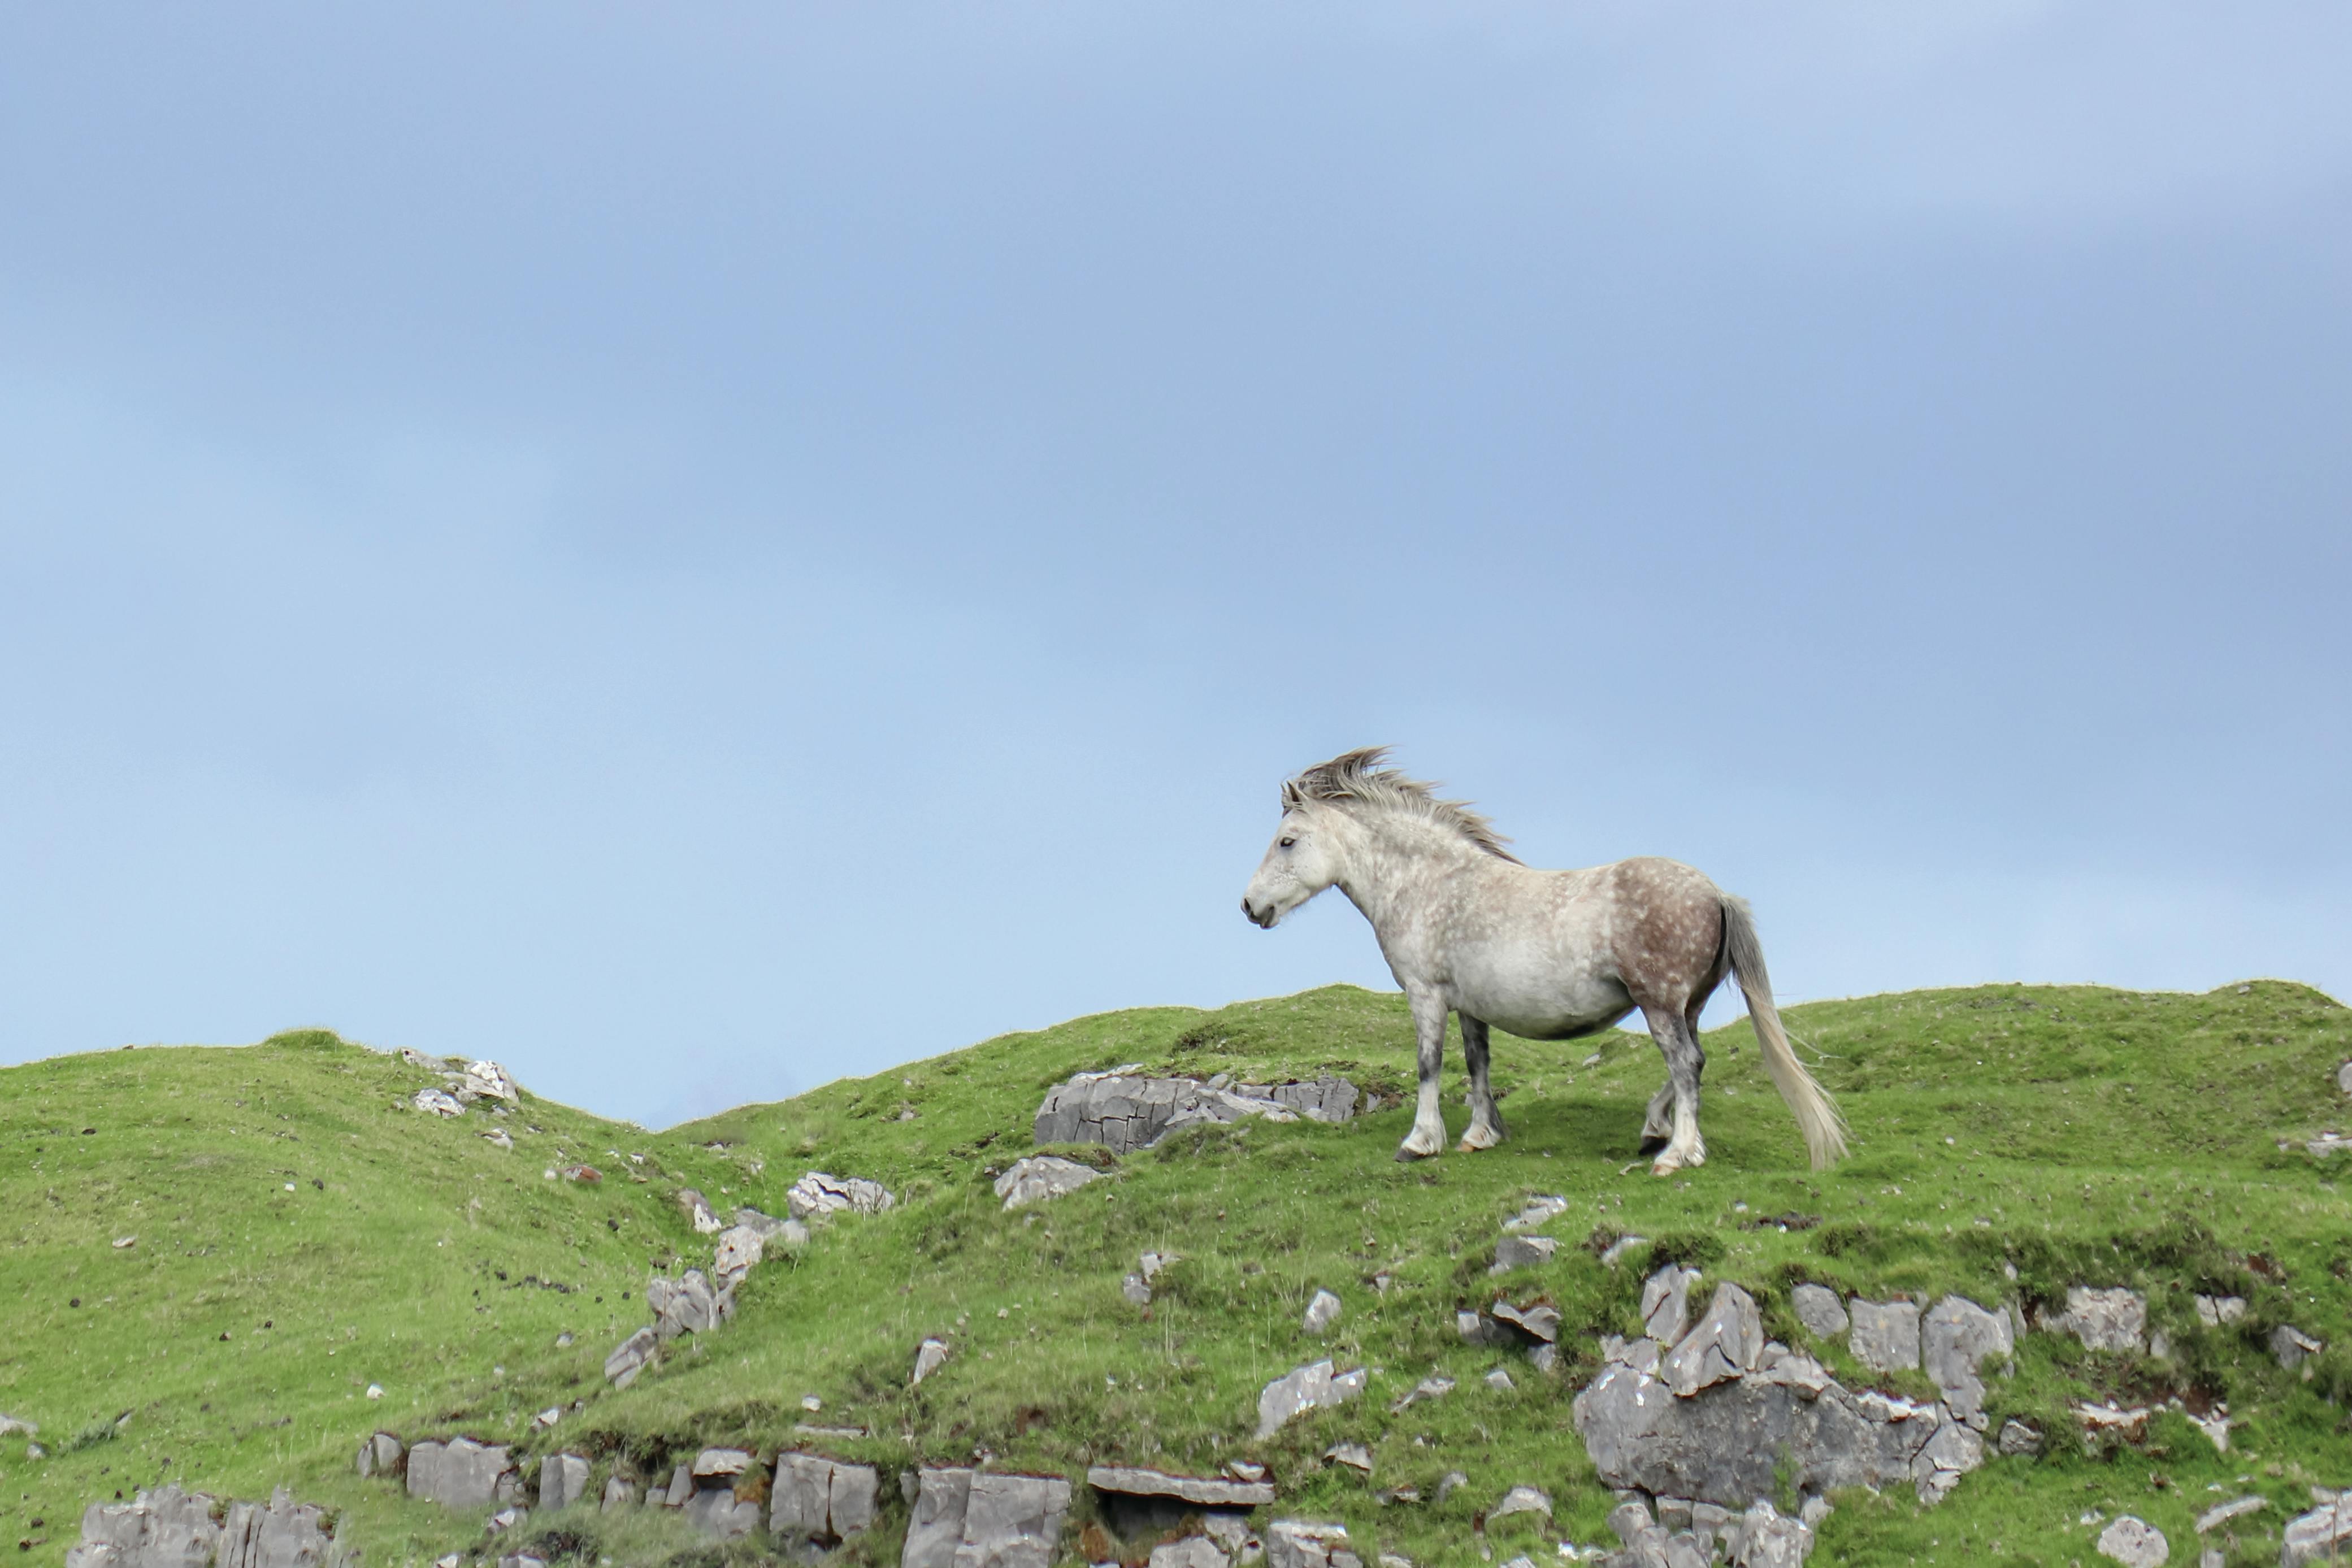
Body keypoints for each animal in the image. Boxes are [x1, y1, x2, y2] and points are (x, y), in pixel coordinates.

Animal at [1238, 748, 1845, 1175]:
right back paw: (1657, 1130)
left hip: (1660, 1004)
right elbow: (1477, 1065)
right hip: (1683, 1006)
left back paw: (1678, 1153)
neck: (1429, 883)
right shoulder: (1468, 1005)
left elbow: (1429, 1065)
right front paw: (1481, 1134)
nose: (1250, 905)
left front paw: (1420, 1141)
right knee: (1693, 1061)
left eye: (1288, 841)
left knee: (1686, 1064)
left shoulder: (1426, 994)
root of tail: (1715, 893)